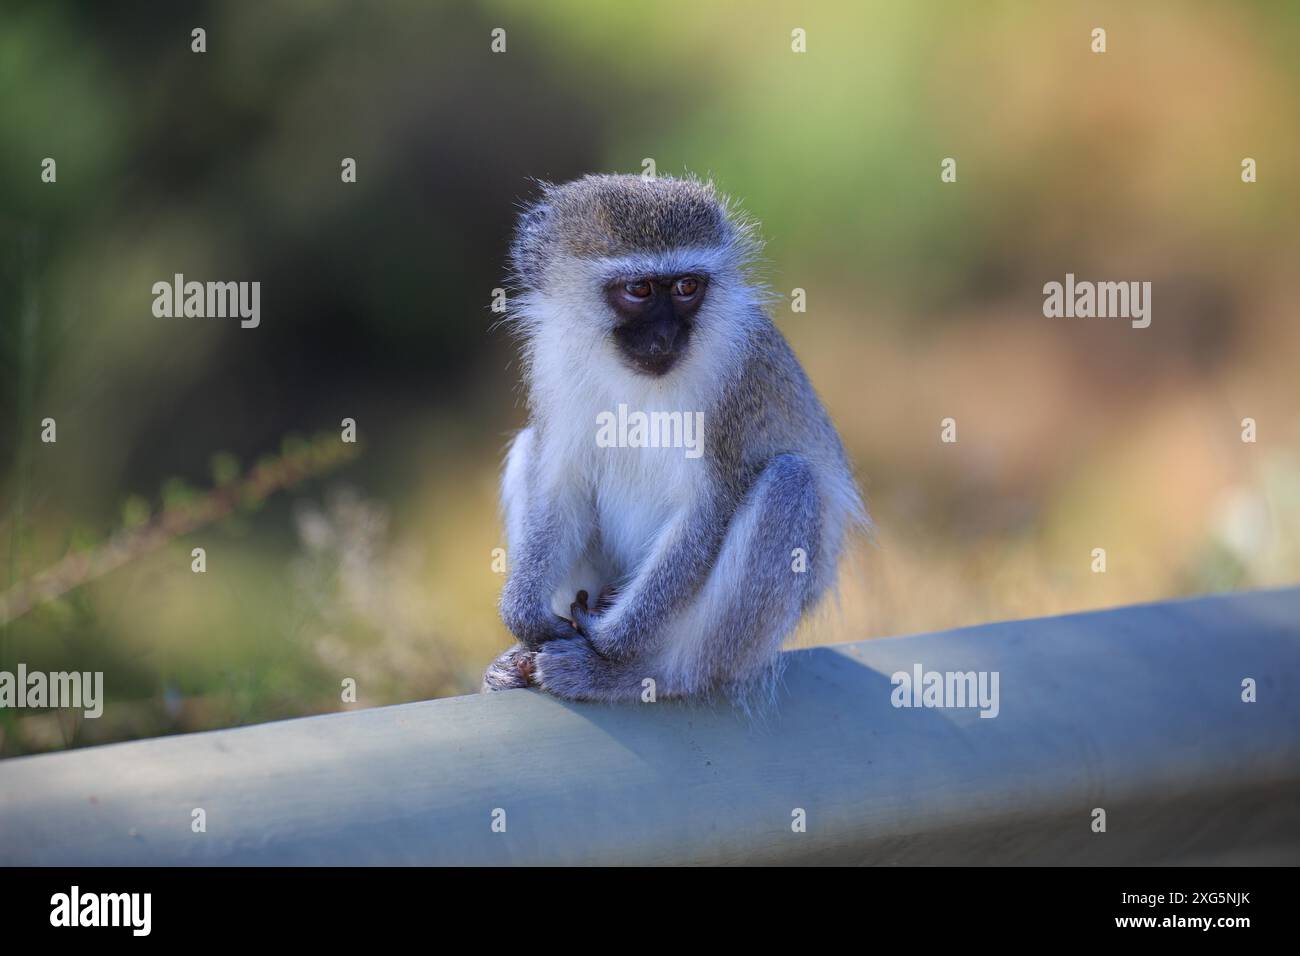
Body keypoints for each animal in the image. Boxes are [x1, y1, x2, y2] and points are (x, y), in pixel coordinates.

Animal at [482, 173, 867, 705]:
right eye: (639, 289)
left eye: (687, 287)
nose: (665, 337)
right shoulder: (553, 363)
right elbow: (561, 483)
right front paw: (524, 616)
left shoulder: (732, 379)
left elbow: (707, 506)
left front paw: (609, 640)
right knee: (528, 448)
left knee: (789, 483)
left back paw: (637, 676)